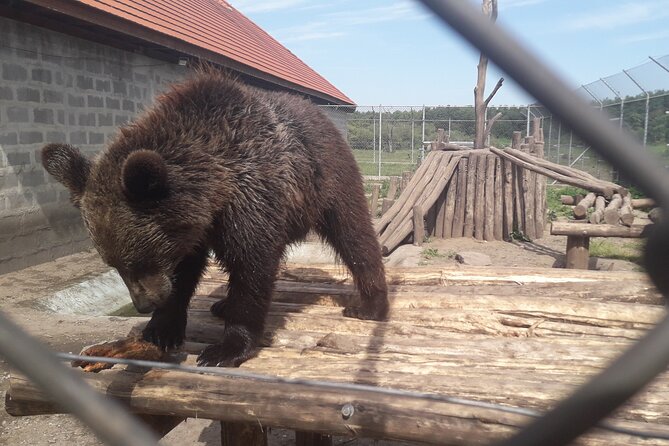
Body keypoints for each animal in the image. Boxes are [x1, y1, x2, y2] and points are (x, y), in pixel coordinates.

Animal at [41, 68, 389, 367]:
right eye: (114, 264)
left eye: (140, 260)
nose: (144, 304)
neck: (214, 189)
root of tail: (321, 114)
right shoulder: (192, 230)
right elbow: (186, 272)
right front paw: (161, 328)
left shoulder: (252, 197)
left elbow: (252, 266)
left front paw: (226, 349)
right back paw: (222, 304)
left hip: (330, 179)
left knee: (354, 236)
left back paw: (370, 305)